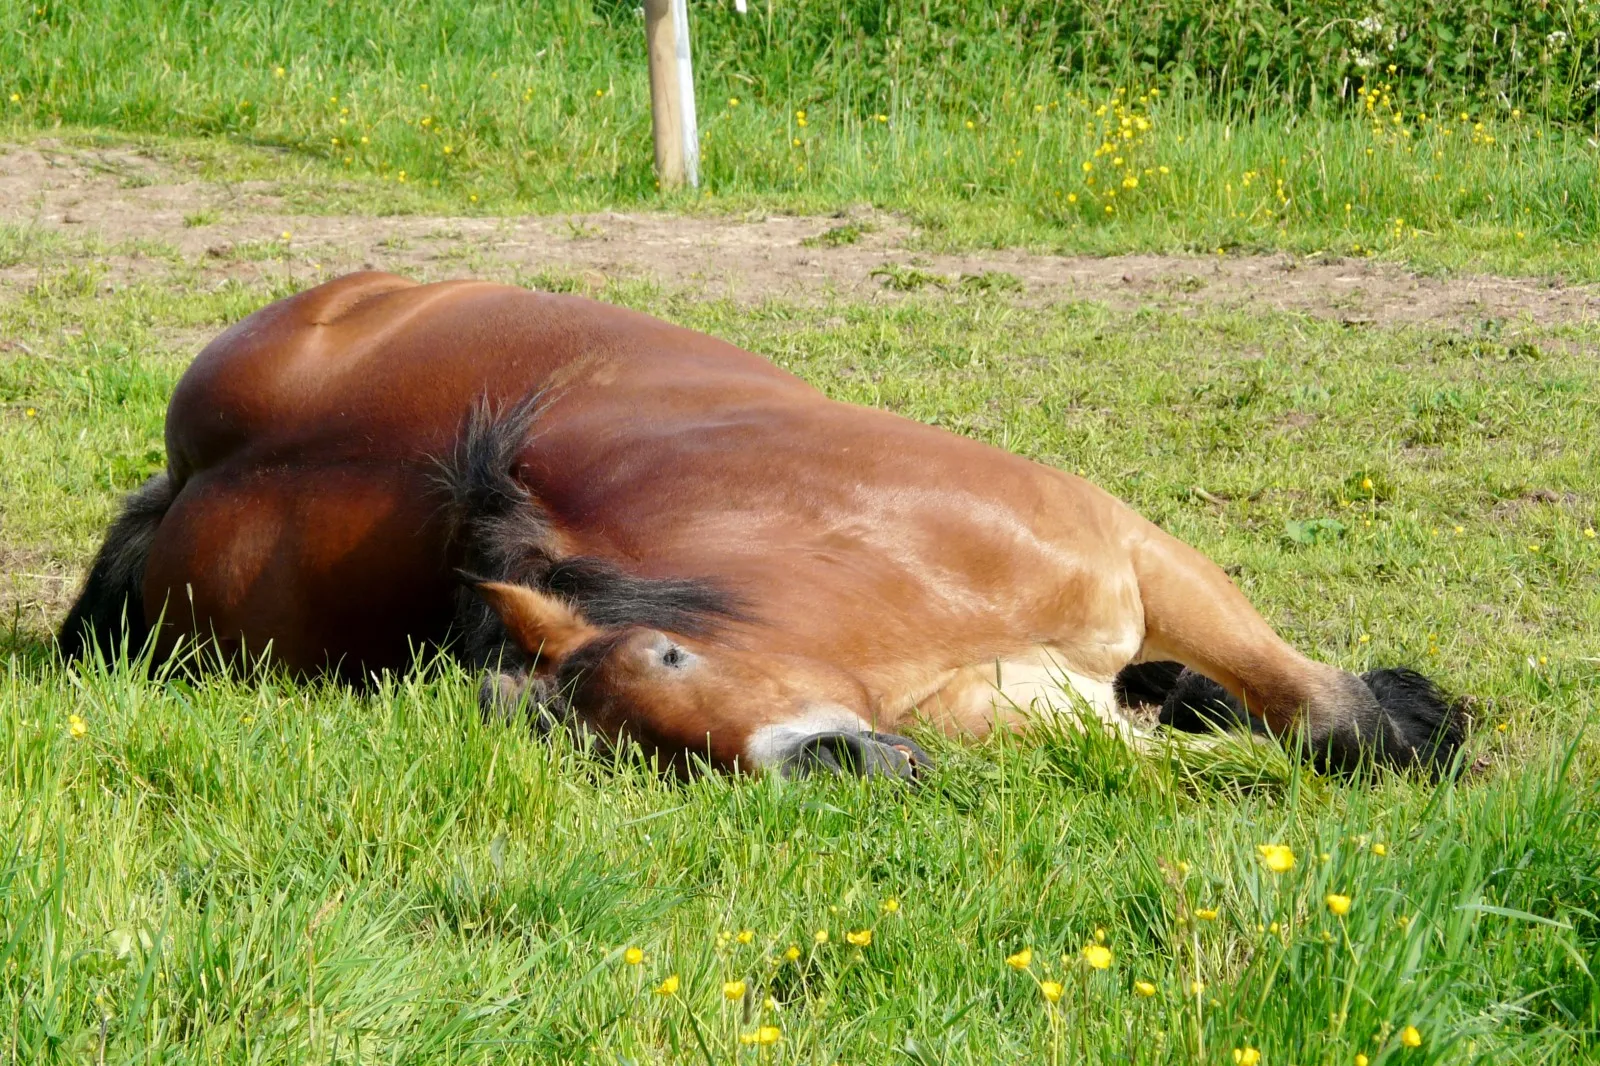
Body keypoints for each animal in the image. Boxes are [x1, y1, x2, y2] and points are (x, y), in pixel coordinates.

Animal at [58, 271, 1463, 779]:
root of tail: (189, 478)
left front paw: (1416, 728)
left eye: (671, 655)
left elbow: (1325, 713)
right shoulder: (1055, 701)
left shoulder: (1138, 553)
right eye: (637, 752)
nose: (823, 762)